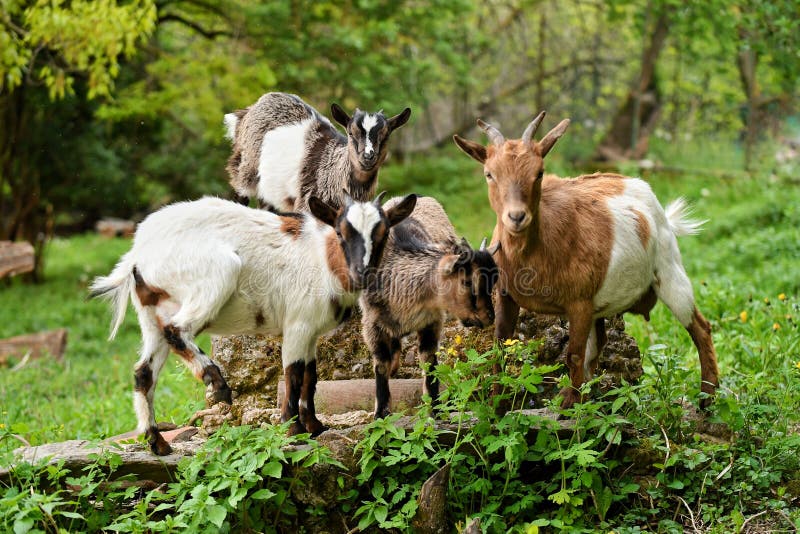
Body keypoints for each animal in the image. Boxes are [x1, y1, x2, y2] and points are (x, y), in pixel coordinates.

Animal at [90, 192, 417, 455]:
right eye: (341, 231)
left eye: (383, 233)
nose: (362, 272)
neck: (323, 259)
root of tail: (138, 252)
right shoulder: (297, 324)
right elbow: (294, 375)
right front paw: (292, 430)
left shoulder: (311, 332)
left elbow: (311, 377)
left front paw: (315, 426)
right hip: (215, 275)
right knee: (177, 330)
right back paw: (217, 384)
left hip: (150, 312)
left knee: (143, 373)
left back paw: (157, 443)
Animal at [224, 92, 411, 212]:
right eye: (351, 133)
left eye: (386, 136)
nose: (368, 156)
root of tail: (251, 109)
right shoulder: (306, 203)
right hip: (246, 167)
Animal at [360, 196, 499, 418]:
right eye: (467, 282)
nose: (489, 318)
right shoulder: (371, 324)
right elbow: (380, 365)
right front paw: (381, 413)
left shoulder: (431, 321)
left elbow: (429, 361)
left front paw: (435, 408)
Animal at [453, 112, 719, 410]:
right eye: (489, 174)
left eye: (539, 173)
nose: (517, 217)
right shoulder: (506, 295)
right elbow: (499, 347)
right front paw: (495, 403)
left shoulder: (578, 303)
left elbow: (574, 354)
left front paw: (570, 404)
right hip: (601, 303)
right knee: (600, 341)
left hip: (669, 269)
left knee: (700, 327)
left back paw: (708, 397)